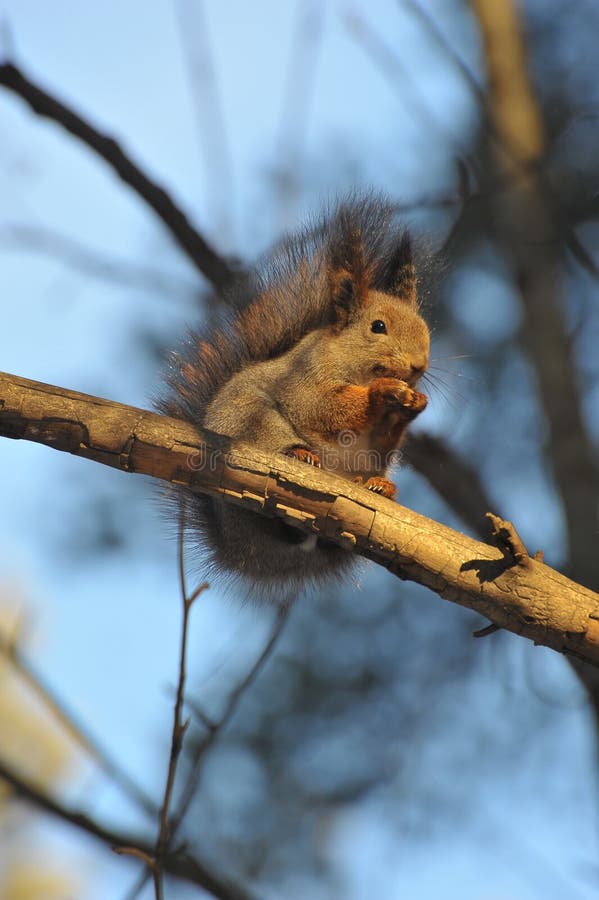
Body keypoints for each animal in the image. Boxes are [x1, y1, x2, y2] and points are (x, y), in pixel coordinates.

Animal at [161, 195, 430, 596]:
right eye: (378, 326)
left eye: (426, 329)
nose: (419, 366)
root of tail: (235, 543)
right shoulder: (305, 377)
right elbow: (321, 408)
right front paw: (381, 393)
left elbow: (382, 437)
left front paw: (414, 405)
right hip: (251, 419)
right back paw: (299, 455)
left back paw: (379, 485)